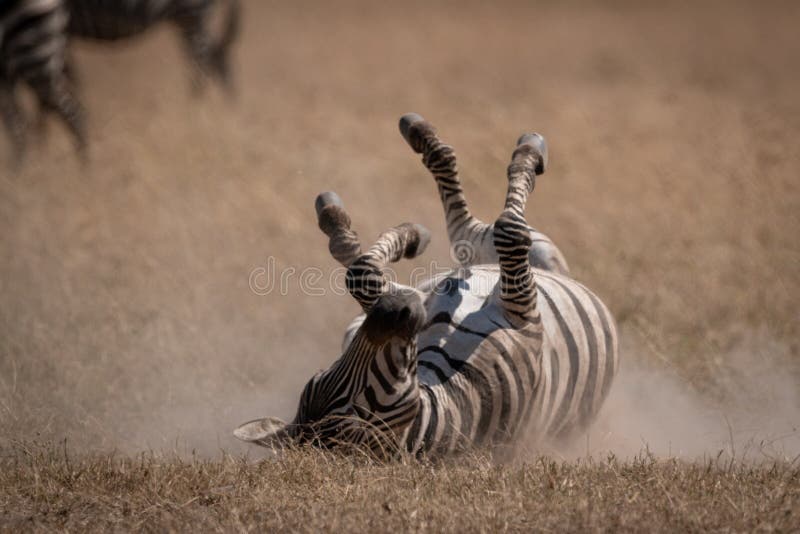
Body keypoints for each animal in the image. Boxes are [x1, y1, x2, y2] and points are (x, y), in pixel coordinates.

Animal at [0, 0, 240, 166]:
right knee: (216, 60)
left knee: (203, 65)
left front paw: (31, 160)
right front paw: (38, 153)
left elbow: (19, 116)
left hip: (190, 12)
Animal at [235, 114, 619, 458]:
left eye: (324, 375)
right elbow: (510, 229)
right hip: (531, 254)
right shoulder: (522, 312)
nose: (399, 308)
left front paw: (404, 236)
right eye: (360, 404)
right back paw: (523, 150)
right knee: (480, 226)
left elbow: (361, 273)